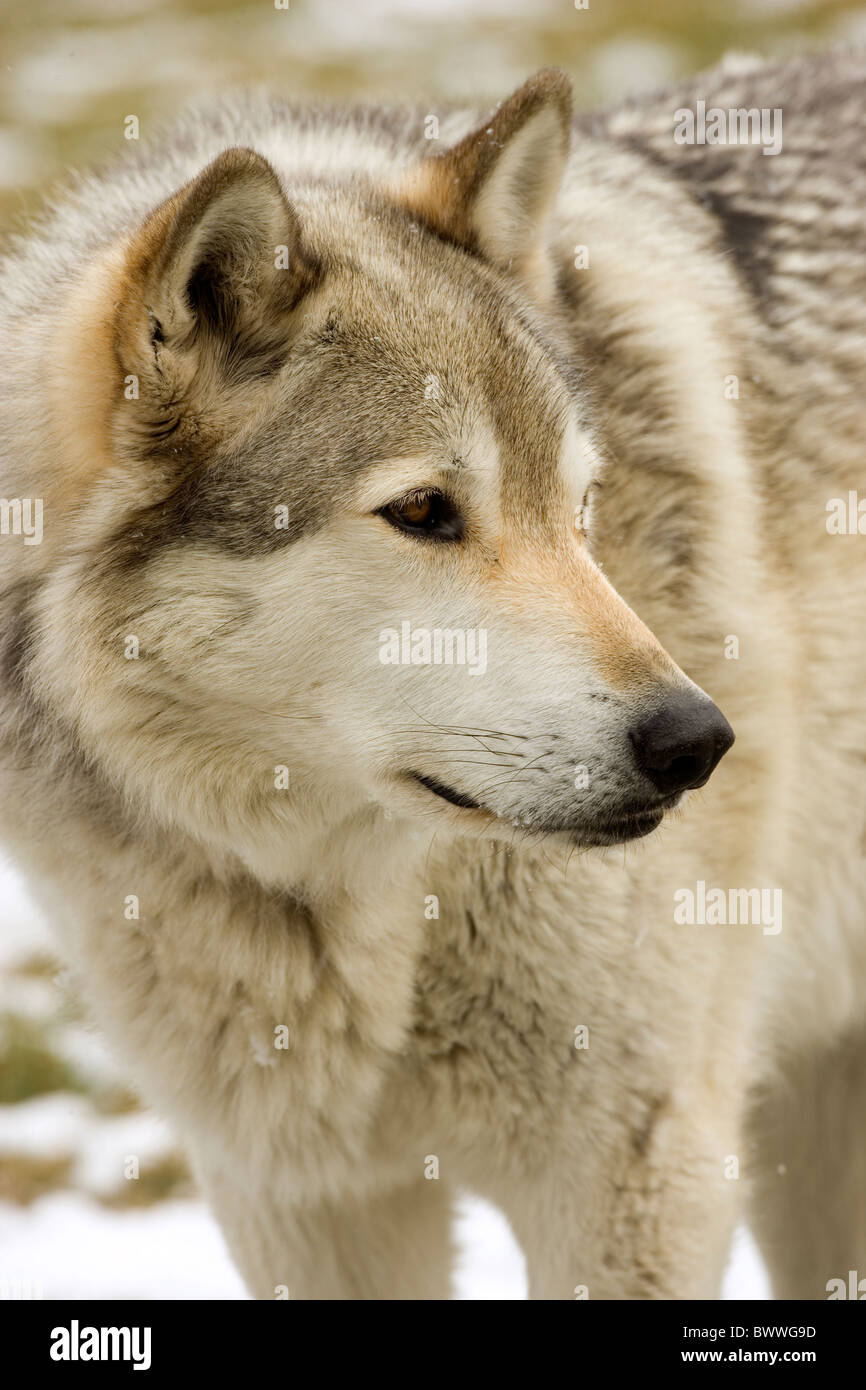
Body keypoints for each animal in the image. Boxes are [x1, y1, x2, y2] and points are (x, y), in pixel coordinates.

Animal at [0, 48, 864, 1300]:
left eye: (580, 506)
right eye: (421, 511)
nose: (694, 743)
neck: (337, 899)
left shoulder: (635, 1172)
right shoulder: (305, 1206)